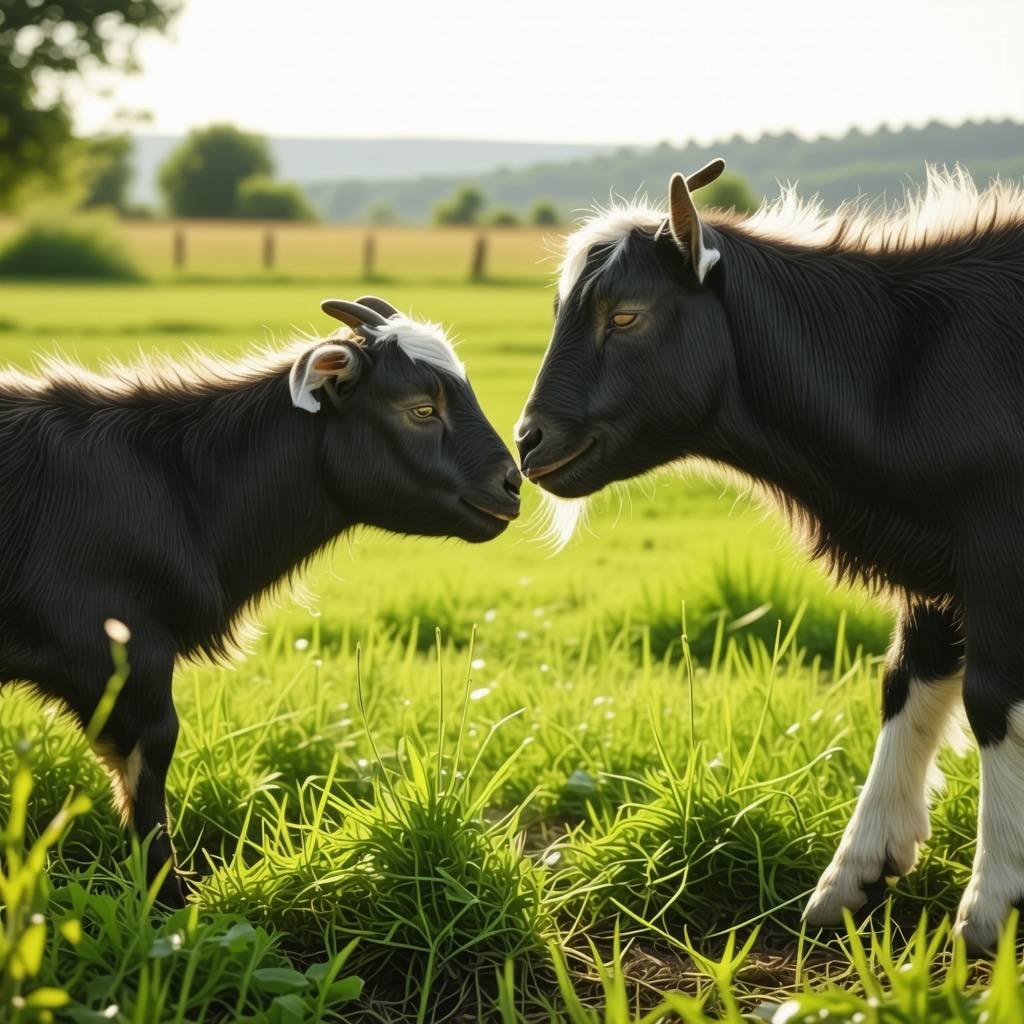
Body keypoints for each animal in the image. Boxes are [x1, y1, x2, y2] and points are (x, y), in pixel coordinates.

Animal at [1, 295, 521, 907]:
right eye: (421, 408)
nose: (512, 483)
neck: (175, 482)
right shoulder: (117, 651)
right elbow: (147, 766)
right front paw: (167, 904)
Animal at [515, 162, 1024, 952]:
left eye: (625, 316)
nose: (527, 440)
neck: (905, 368)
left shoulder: (998, 552)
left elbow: (991, 699)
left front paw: (991, 903)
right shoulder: (941, 568)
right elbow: (907, 679)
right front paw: (854, 875)